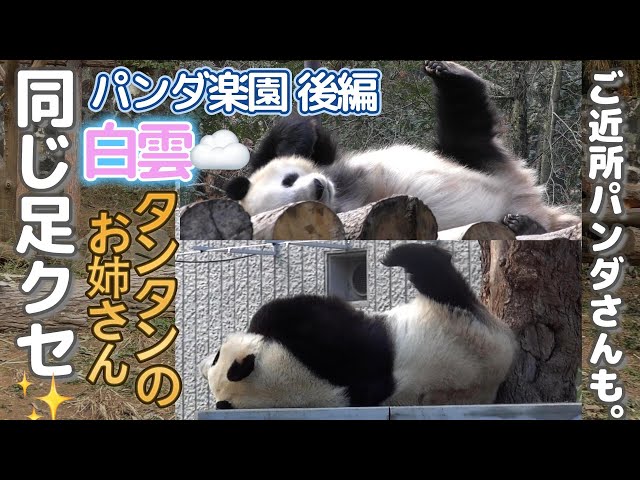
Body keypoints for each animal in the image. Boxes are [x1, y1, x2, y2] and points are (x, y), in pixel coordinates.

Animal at [199, 243, 517, 409]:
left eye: (216, 357)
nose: (203, 362)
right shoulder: (329, 351)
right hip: (462, 323)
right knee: (438, 276)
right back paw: (404, 254)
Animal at [224, 60, 579, 235]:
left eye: (289, 180)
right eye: (298, 201)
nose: (317, 187)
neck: (339, 187)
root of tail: (531, 202)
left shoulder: (333, 164)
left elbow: (303, 143)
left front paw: (297, 136)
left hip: (480, 163)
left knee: (465, 132)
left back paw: (449, 72)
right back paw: (524, 225)